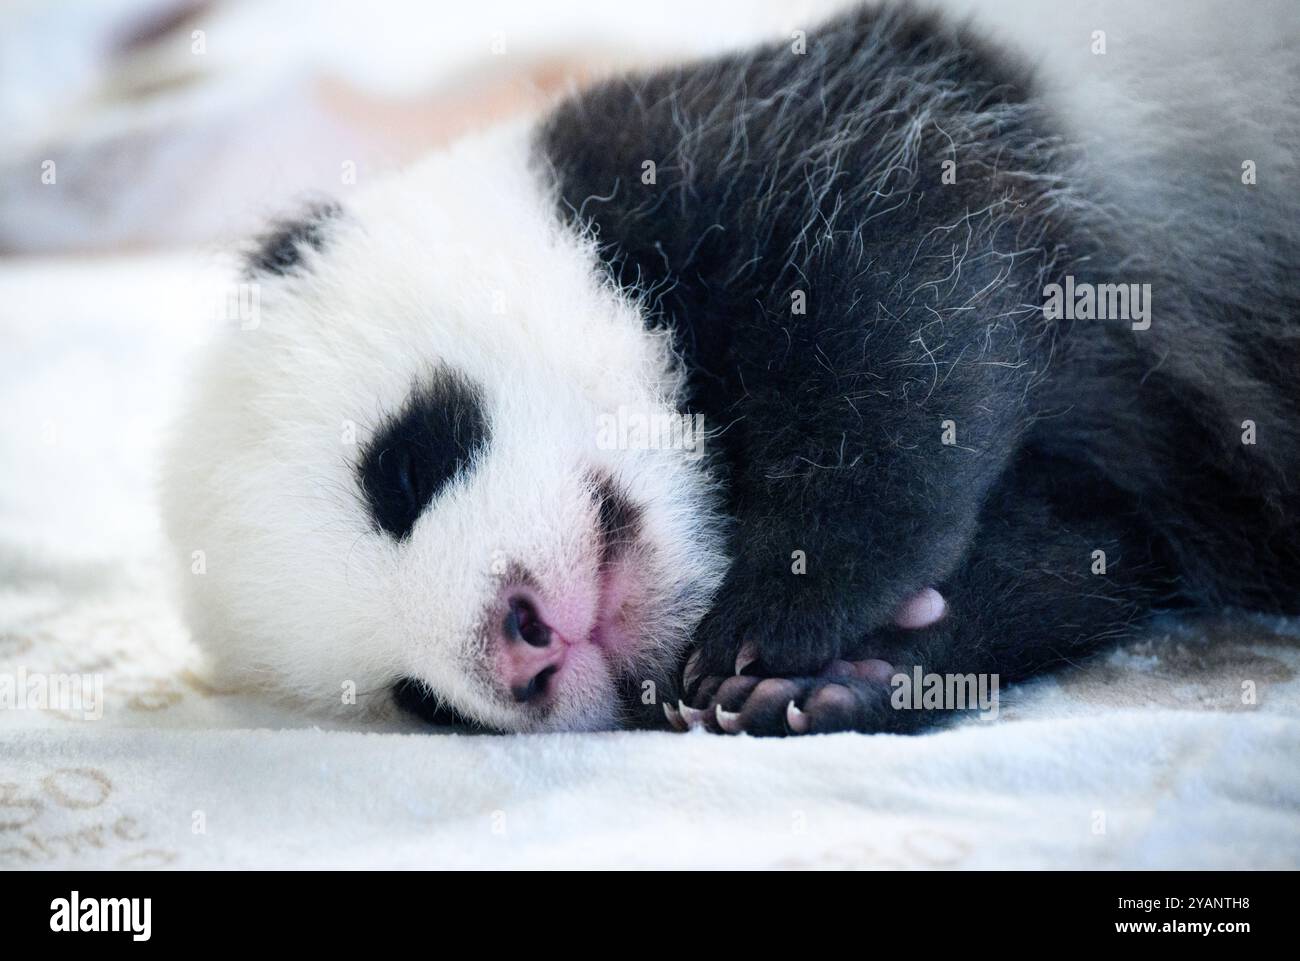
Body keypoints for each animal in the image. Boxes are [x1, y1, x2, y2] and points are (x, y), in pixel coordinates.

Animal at [162, 2, 1300, 736]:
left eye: (403, 465)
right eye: (421, 700)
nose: (521, 646)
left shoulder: (760, 135)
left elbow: (914, 282)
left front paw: (785, 613)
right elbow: (1086, 556)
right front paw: (845, 676)